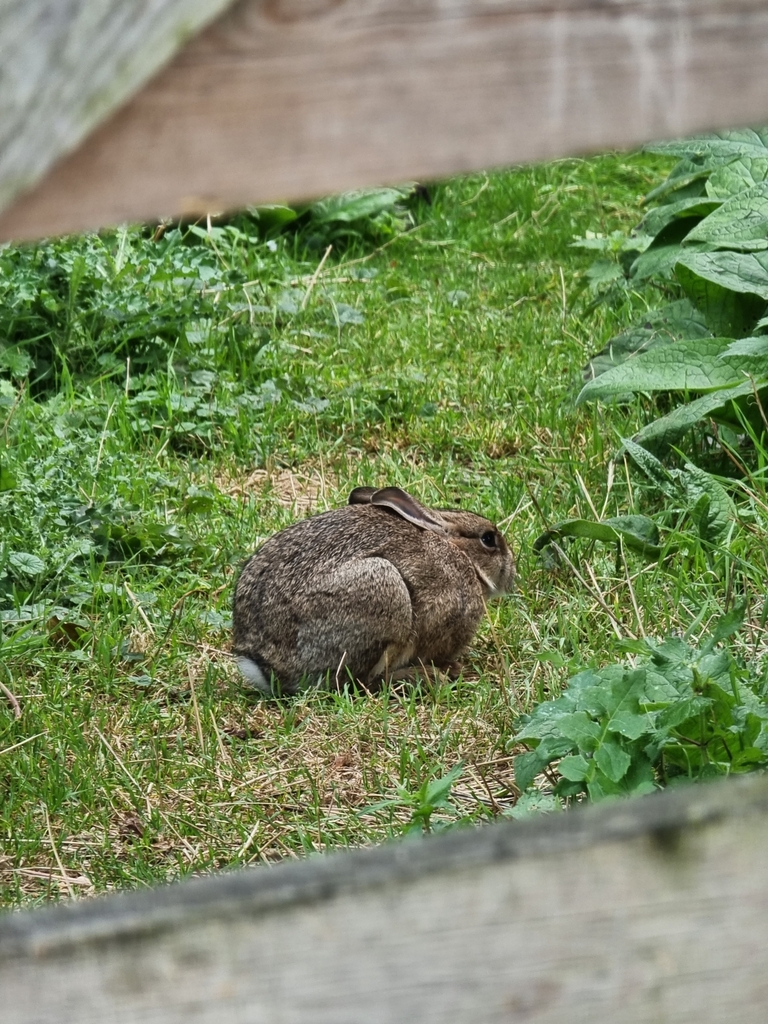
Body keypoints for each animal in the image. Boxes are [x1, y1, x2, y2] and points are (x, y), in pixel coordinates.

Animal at [232, 485, 515, 695]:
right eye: (488, 539)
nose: (512, 576)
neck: (460, 552)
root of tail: (269, 667)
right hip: (385, 593)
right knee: (359, 682)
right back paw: (422, 677)